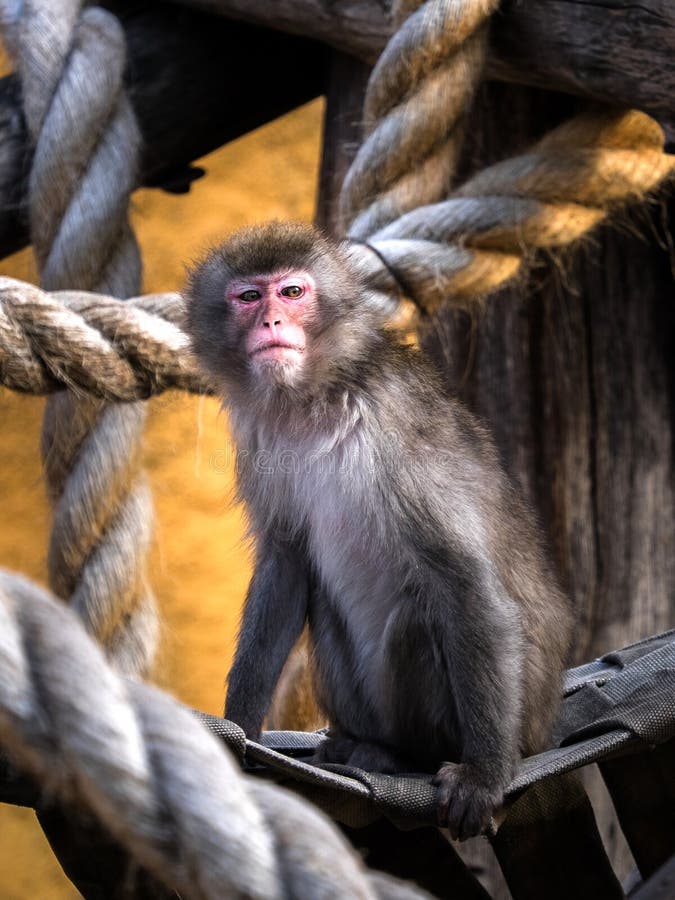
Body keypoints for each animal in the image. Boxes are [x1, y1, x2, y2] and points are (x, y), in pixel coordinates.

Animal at [185, 221, 574, 841]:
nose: (271, 323)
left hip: (520, 719)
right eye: (248, 297)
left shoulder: (391, 430)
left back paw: (401, 757)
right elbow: (285, 568)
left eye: (291, 292)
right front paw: (237, 735)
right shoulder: (261, 437)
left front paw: (483, 778)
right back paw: (355, 743)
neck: (314, 398)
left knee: (422, 614)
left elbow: (466, 582)